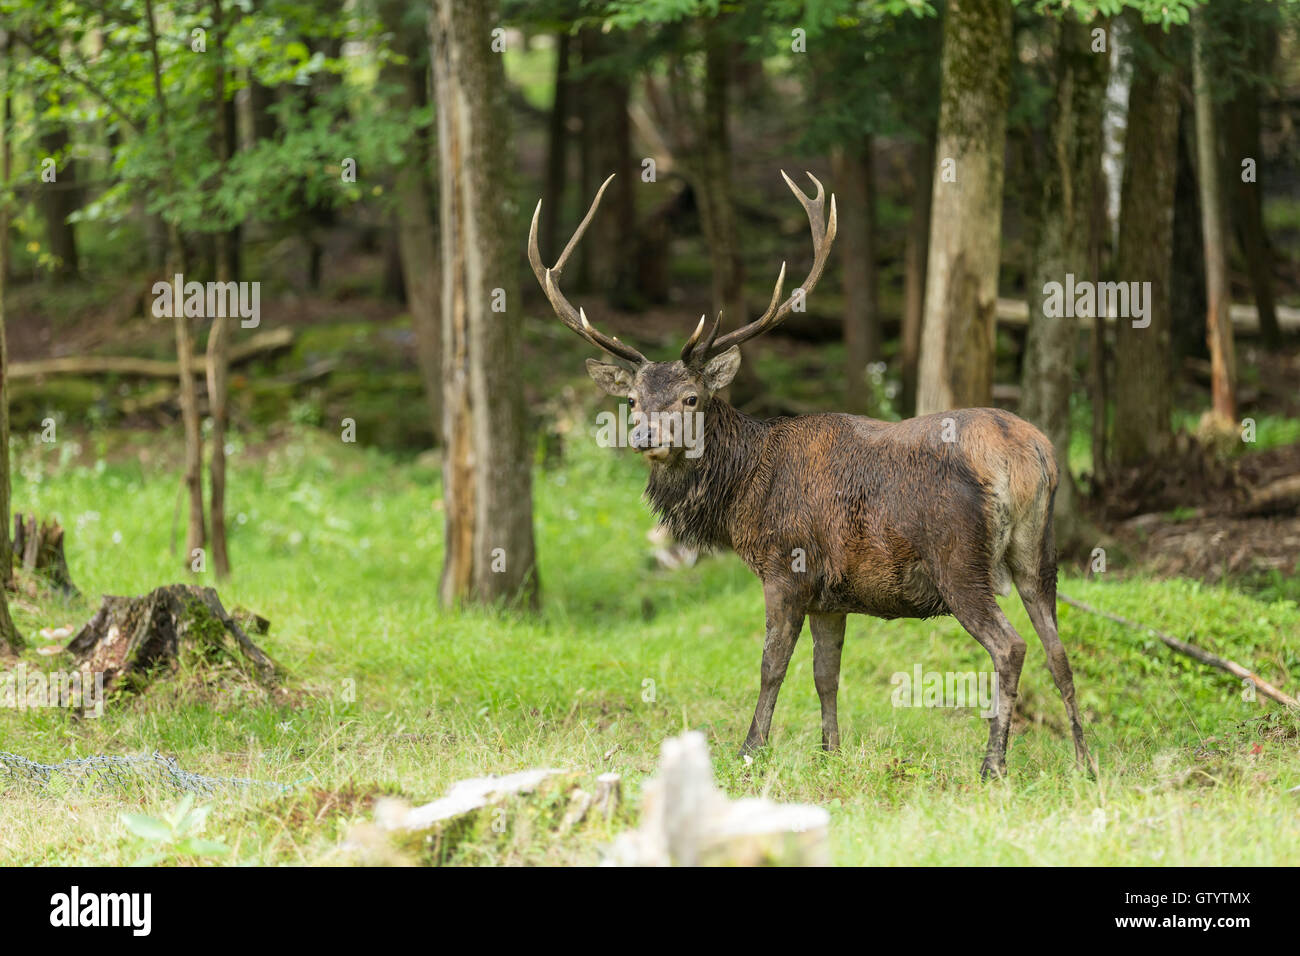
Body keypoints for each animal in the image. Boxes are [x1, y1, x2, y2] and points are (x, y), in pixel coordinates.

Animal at [527, 171, 1095, 779]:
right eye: (632, 399)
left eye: (691, 397)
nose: (644, 438)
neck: (741, 496)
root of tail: (1029, 453)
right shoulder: (833, 594)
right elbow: (828, 674)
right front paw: (832, 752)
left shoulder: (787, 567)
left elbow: (771, 664)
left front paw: (751, 748)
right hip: (1038, 555)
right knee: (1058, 649)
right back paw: (1084, 762)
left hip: (959, 558)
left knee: (1010, 646)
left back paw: (993, 765)